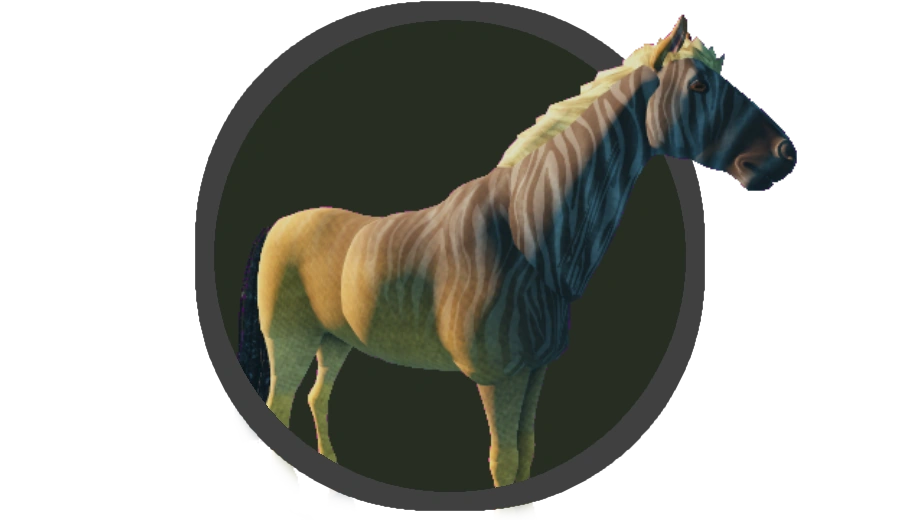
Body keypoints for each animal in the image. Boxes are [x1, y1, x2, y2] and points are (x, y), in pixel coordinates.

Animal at [235, 15, 797, 520]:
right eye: (699, 85)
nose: (784, 153)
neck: (529, 241)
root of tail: (282, 224)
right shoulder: (497, 376)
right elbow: (504, 462)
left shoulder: (534, 370)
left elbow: (527, 454)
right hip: (290, 336)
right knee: (279, 401)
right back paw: (294, 487)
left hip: (335, 340)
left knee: (316, 399)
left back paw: (335, 492)